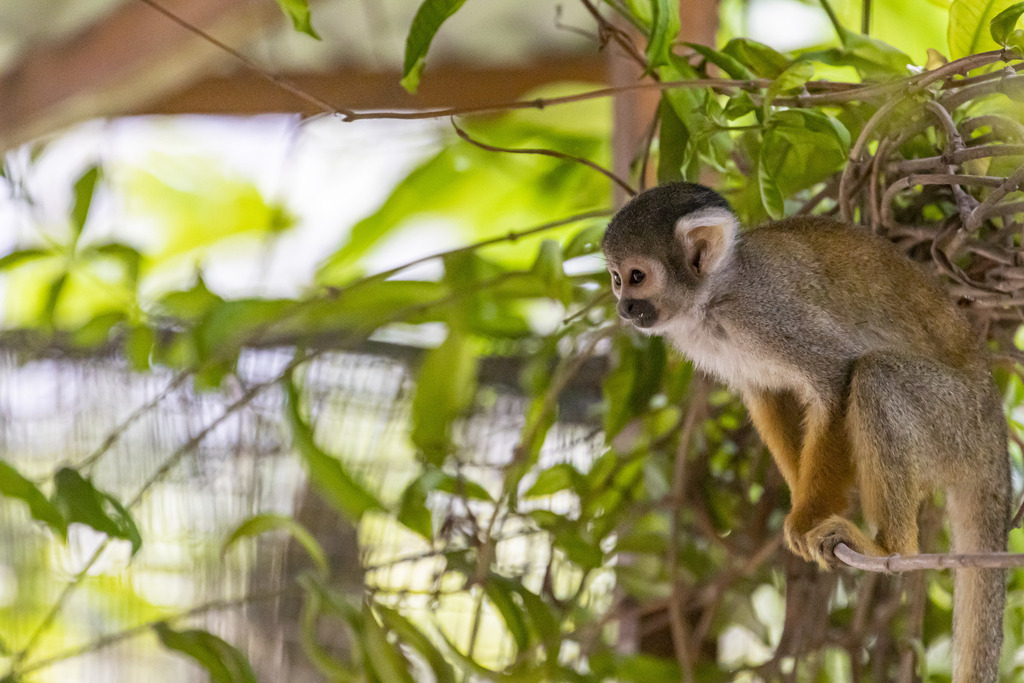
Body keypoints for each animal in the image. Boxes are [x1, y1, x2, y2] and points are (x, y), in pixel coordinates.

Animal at [601, 181, 1010, 682]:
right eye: (616, 278)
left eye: (637, 276)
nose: (624, 306)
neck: (713, 299)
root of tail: (995, 431)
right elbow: (766, 395)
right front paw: (803, 501)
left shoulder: (766, 312)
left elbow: (836, 379)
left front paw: (809, 513)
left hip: (958, 422)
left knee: (875, 376)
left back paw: (889, 548)